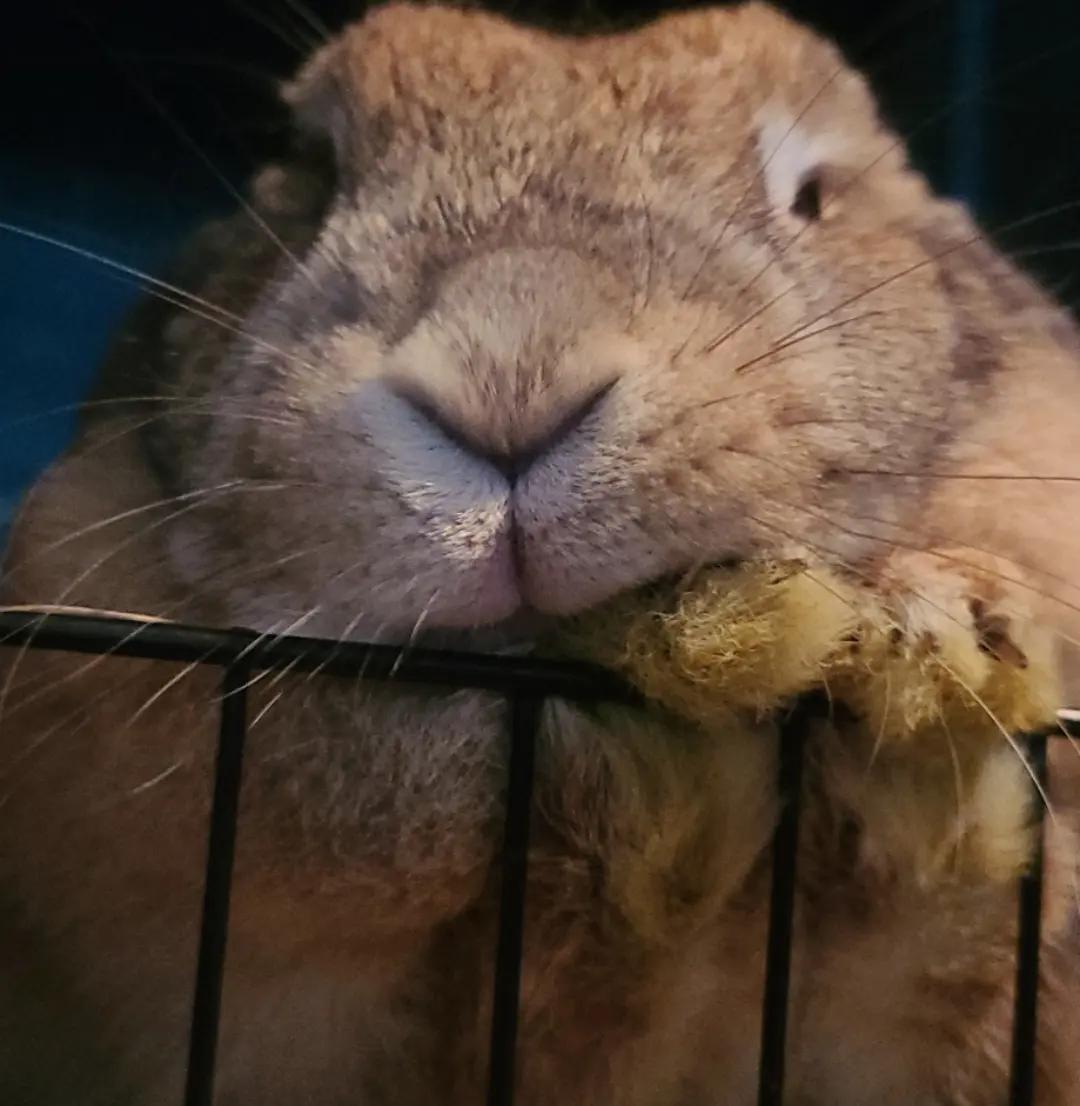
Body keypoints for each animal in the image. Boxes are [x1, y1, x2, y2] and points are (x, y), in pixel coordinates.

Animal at [3, 3, 1080, 1103]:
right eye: (309, 174)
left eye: (815, 197)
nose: (509, 374)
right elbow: (352, 794)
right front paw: (698, 724)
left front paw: (938, 665)